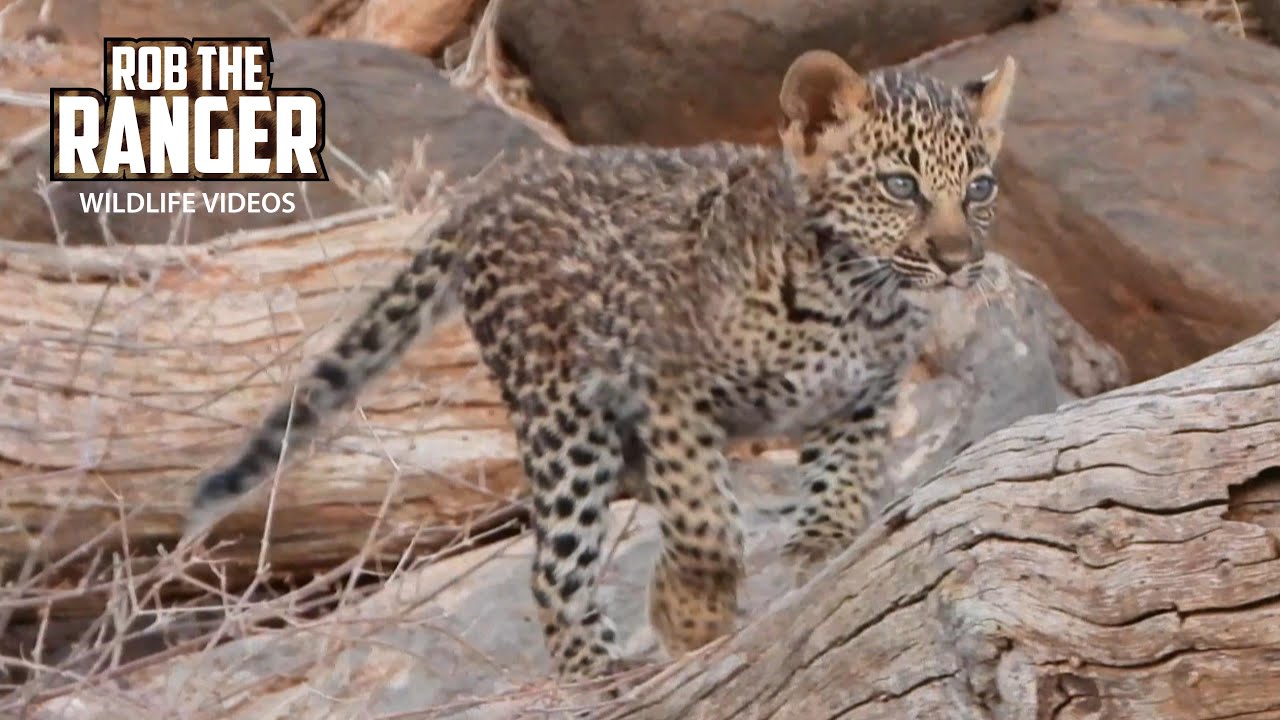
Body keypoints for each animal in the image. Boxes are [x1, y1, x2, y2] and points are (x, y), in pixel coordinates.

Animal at [186, 49, 1018, 682]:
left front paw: (820, 556)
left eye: (980, 187)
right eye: (900, 185)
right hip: (563, 417)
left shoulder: (862, 402)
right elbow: (704, 522)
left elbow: (838, 495)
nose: (958, 261)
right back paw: (595, 668)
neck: (857, 297)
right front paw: (694, 615)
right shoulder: (674, 390)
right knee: (555, 566)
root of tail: (492, 194)